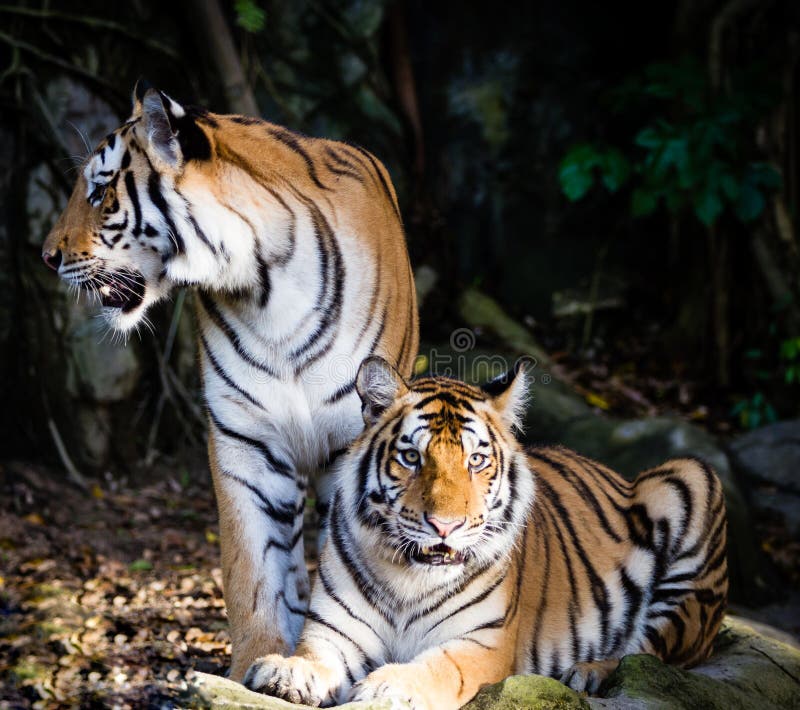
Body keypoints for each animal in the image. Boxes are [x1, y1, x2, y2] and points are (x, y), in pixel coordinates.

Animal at [41, 81, 419, 680]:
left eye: (100, 193)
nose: (47, 256)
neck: (266, 283)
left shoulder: (354, 444)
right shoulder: (246, 439)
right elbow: (254, 570)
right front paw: (255, 665)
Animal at [244, 357, 728, 708]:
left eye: (476, 460)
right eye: (411, 457)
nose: (445, 525)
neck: (408, 580)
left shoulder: (482, 642)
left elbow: (436, 667)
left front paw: (388, 685)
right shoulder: (333, 632)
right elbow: (312, 655)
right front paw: (284, 671)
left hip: (691, 480)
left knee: (649, 652)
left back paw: (588, 672)